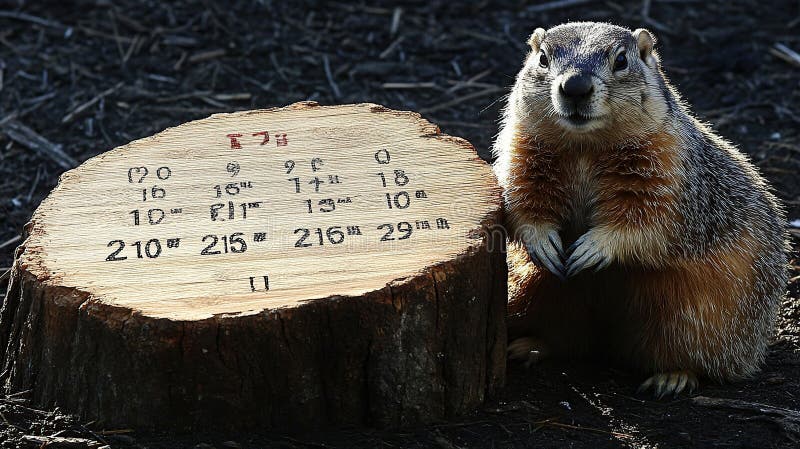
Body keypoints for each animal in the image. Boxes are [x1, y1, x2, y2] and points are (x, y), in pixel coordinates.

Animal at [492, 22, 789, 397]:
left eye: (621, 60)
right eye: (543, 57)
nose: (575, 86)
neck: (585, 145)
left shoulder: (667, 163)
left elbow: (647, 217)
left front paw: (594, 247)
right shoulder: (521, 146)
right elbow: (520, 196)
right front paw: (542, 241)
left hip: (695, 319)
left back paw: (672, 377)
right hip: (536, 289)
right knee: (566, 336)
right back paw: (528, 345)